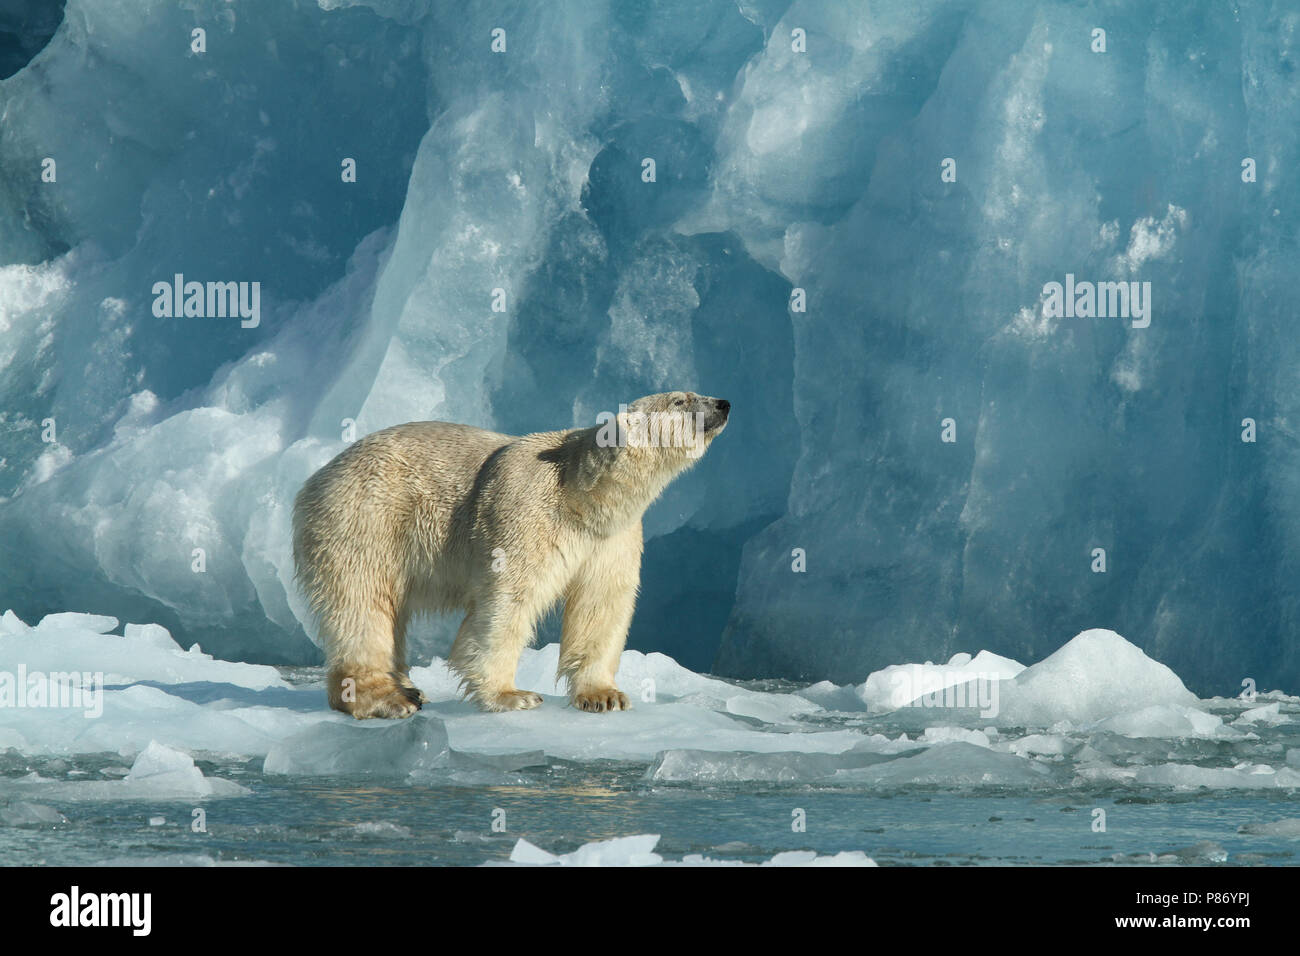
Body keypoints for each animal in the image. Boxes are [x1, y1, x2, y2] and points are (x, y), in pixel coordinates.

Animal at [292, 391, 730, 718]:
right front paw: (512, 695)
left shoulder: (612, 537)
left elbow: (601, 603)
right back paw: (386, 699)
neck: (581, 493)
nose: (723, 403)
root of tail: (315, 480)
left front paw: (605, 695)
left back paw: (409, 689)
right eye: (680, 399)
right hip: (365, 521)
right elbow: (509, 600)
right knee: (363, 606)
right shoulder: (529, 510)